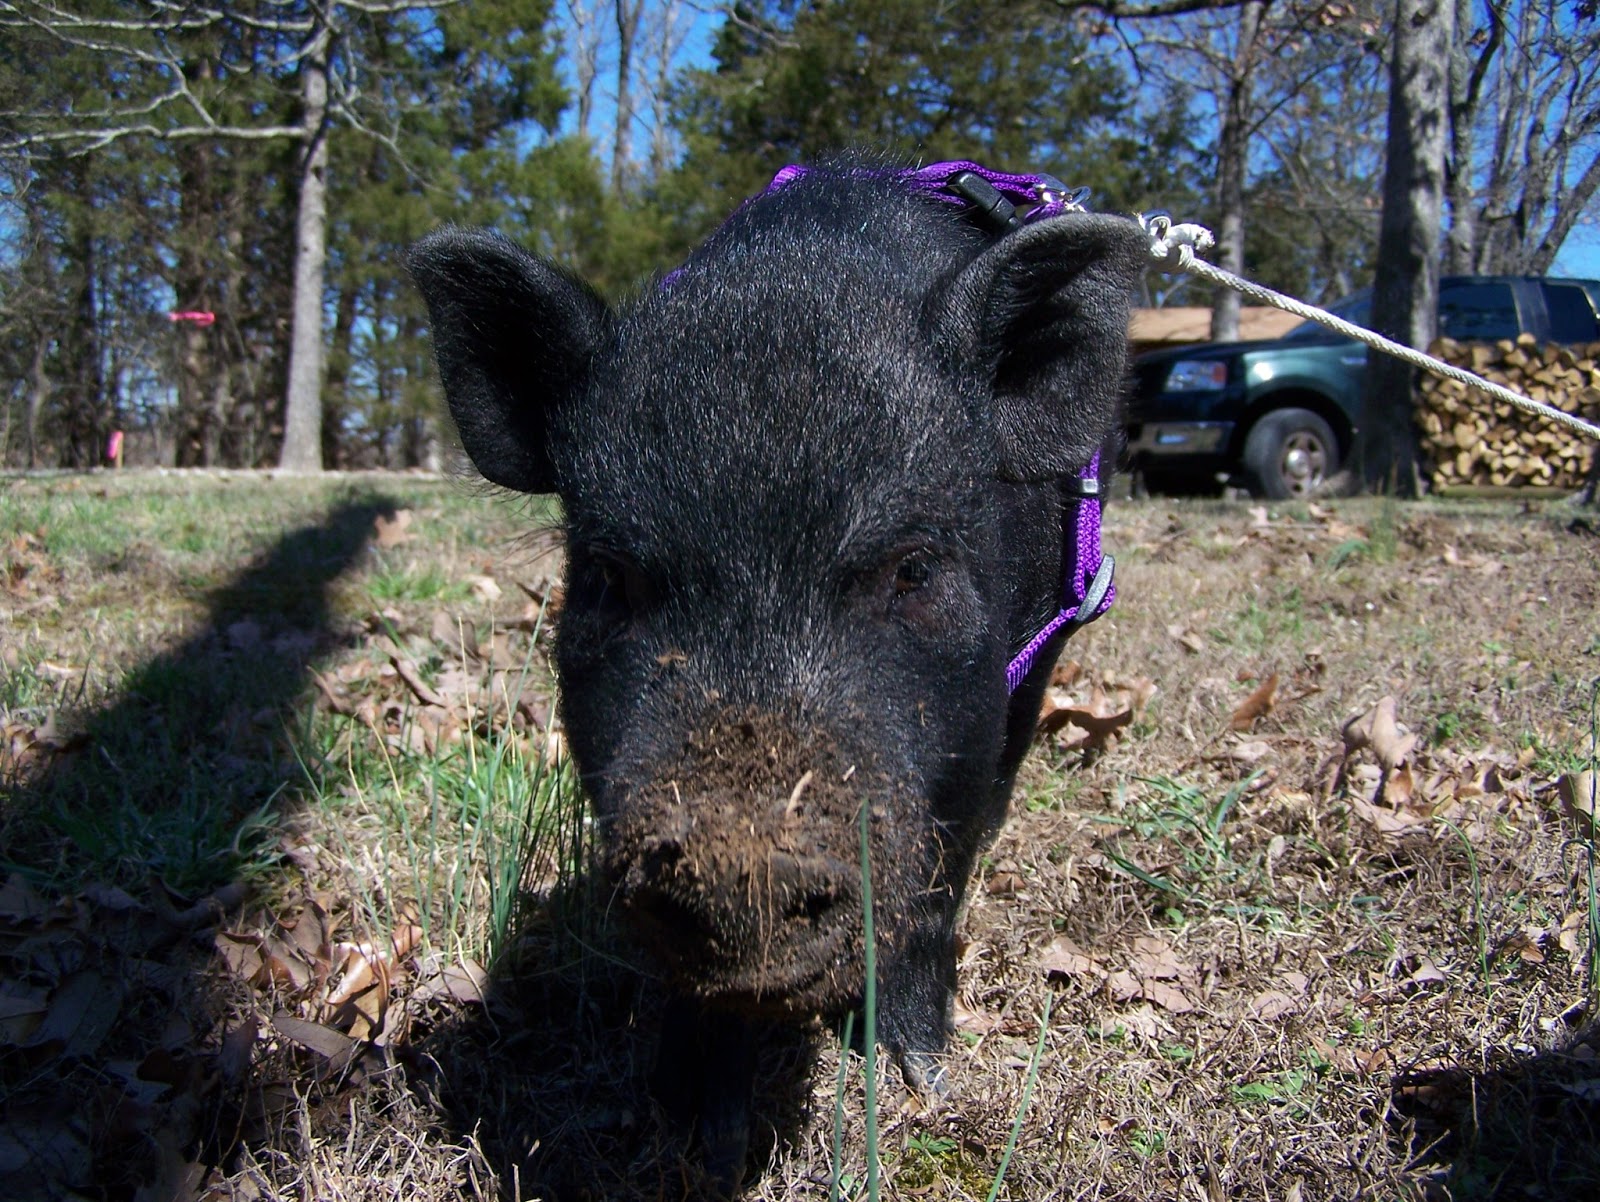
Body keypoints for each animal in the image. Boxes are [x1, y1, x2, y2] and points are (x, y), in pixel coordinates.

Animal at [409, 161, 1148, 1193]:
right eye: (607, 576)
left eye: (914, 568)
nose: (742, 866)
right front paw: (690, 1129)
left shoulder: (999, 696)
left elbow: (941, 877)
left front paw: (917, 1079)